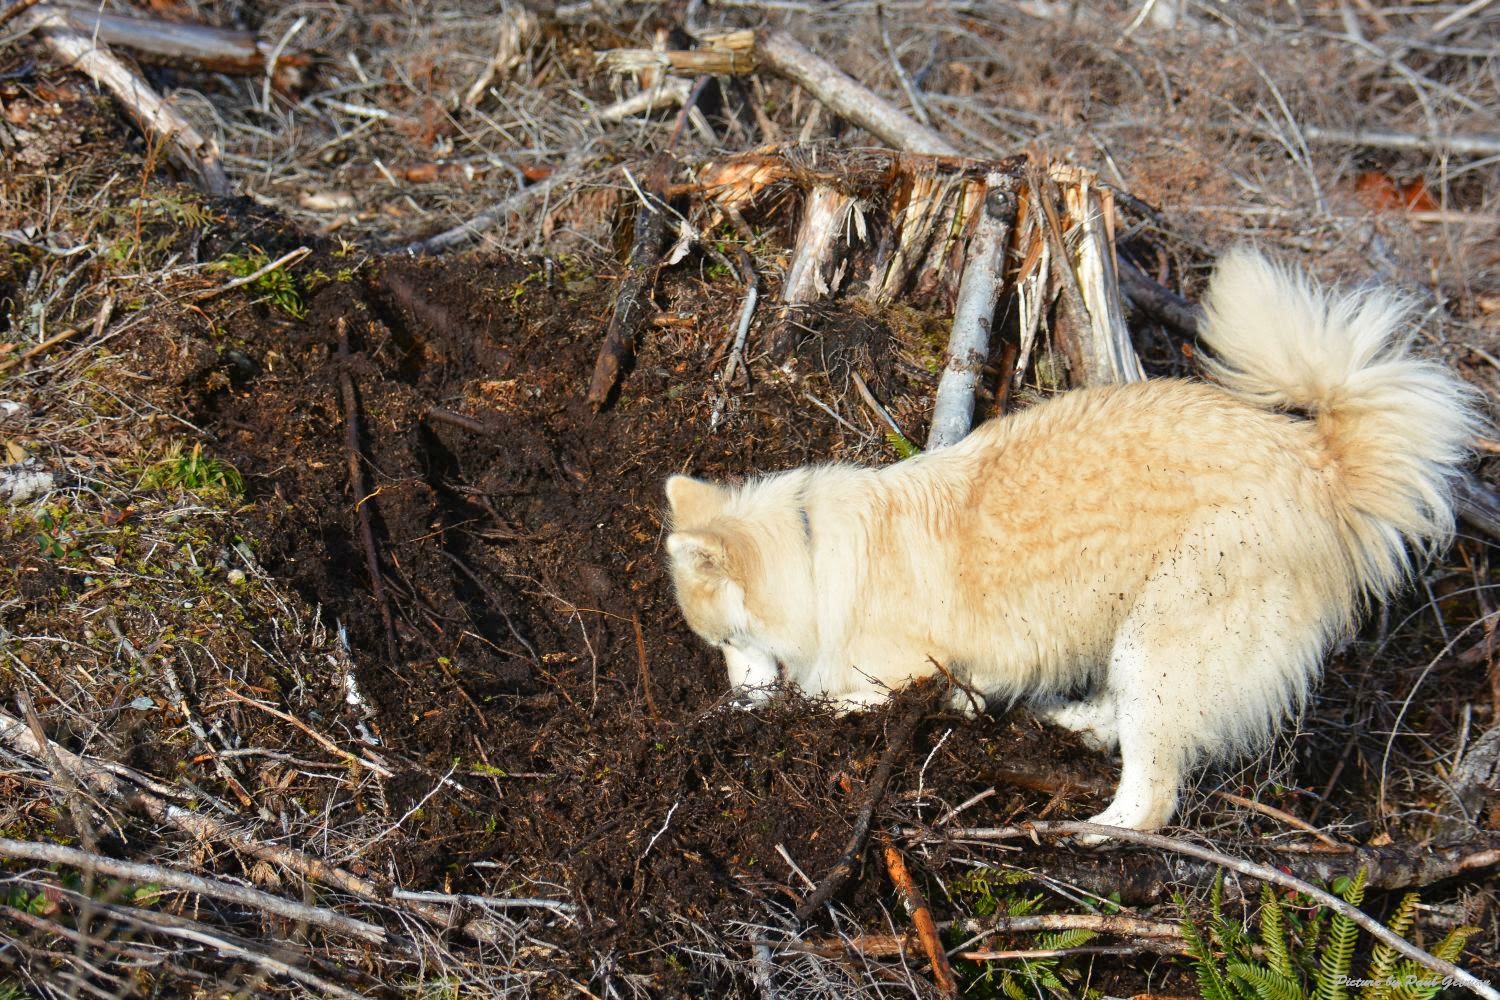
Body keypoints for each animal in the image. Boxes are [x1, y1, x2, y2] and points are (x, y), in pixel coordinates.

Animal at [663, 248, 1480, 832]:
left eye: (727, 642)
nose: (731, 710)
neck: (814, 551)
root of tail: (1320, 463)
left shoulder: (898, 670)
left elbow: (841, 696)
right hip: (1142, 642)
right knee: (1126, 724)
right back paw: (1072, 725)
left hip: (1165, 633)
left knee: (1153, 798)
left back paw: (1091, 832)